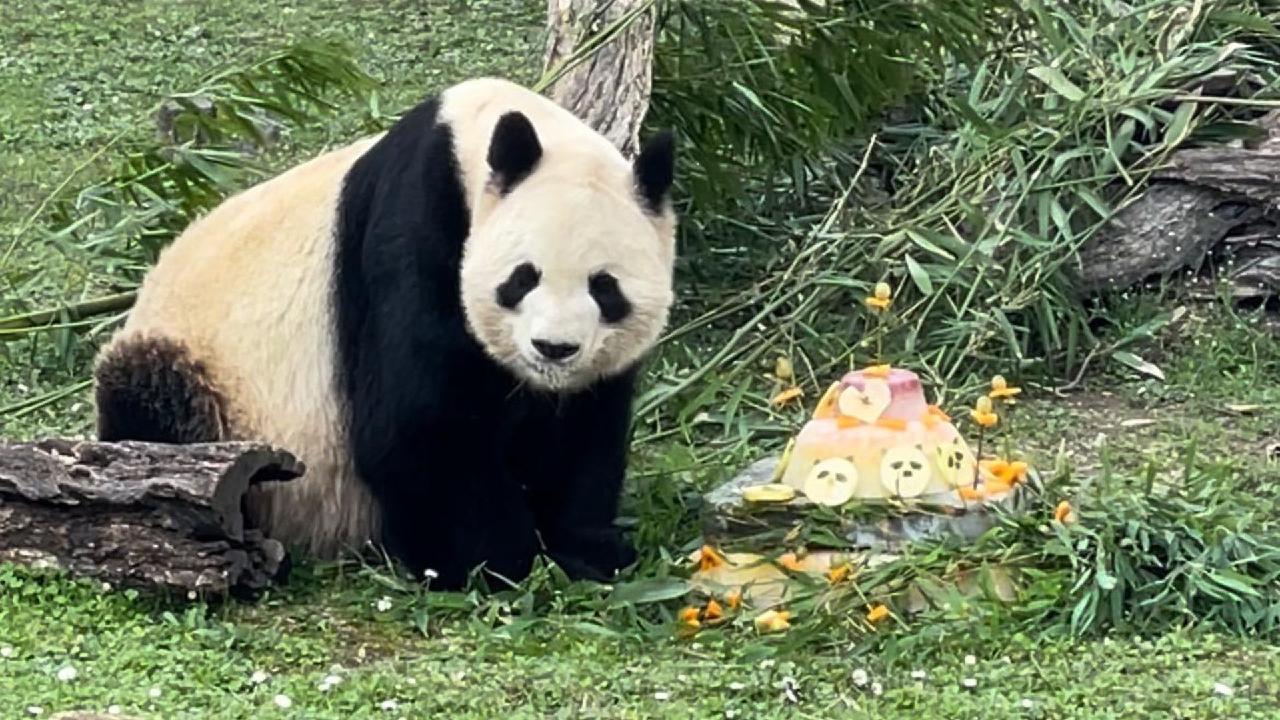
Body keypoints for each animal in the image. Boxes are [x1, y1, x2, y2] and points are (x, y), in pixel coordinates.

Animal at [91, 77, 678, 590]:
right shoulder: (413, 230)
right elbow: (418, 420)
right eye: (523, 278)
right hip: (208, 380)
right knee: (157, 396)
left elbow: (585, 430)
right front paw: (498, 561)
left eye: (604, 287)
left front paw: (588, 548)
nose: (553, 349)